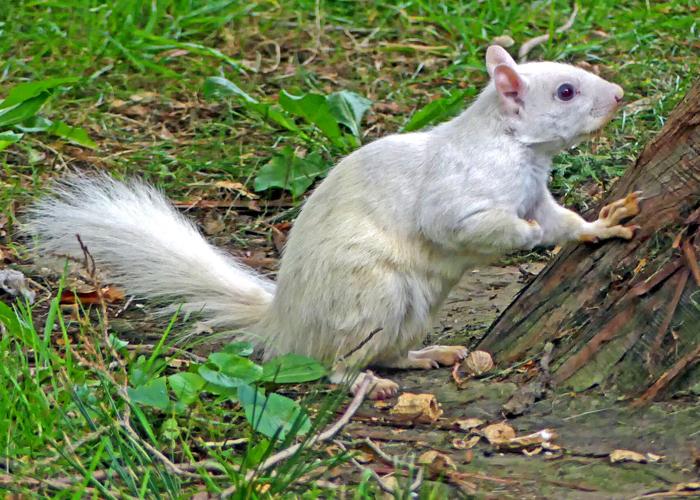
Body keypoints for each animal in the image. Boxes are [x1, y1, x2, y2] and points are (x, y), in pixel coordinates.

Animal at [26, 46, 641, 400]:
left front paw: (605, 225)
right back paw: (364, 382)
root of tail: (288, 324)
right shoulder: (457, 195)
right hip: (370, 295)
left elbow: (564, 222)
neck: (517, 149)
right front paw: (526, 239)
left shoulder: (536, 195)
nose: (618, 94)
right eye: (565, 91)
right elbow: (461, 227)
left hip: (410, 311)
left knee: (390, 350)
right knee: (336, 366)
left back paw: (427, 355)